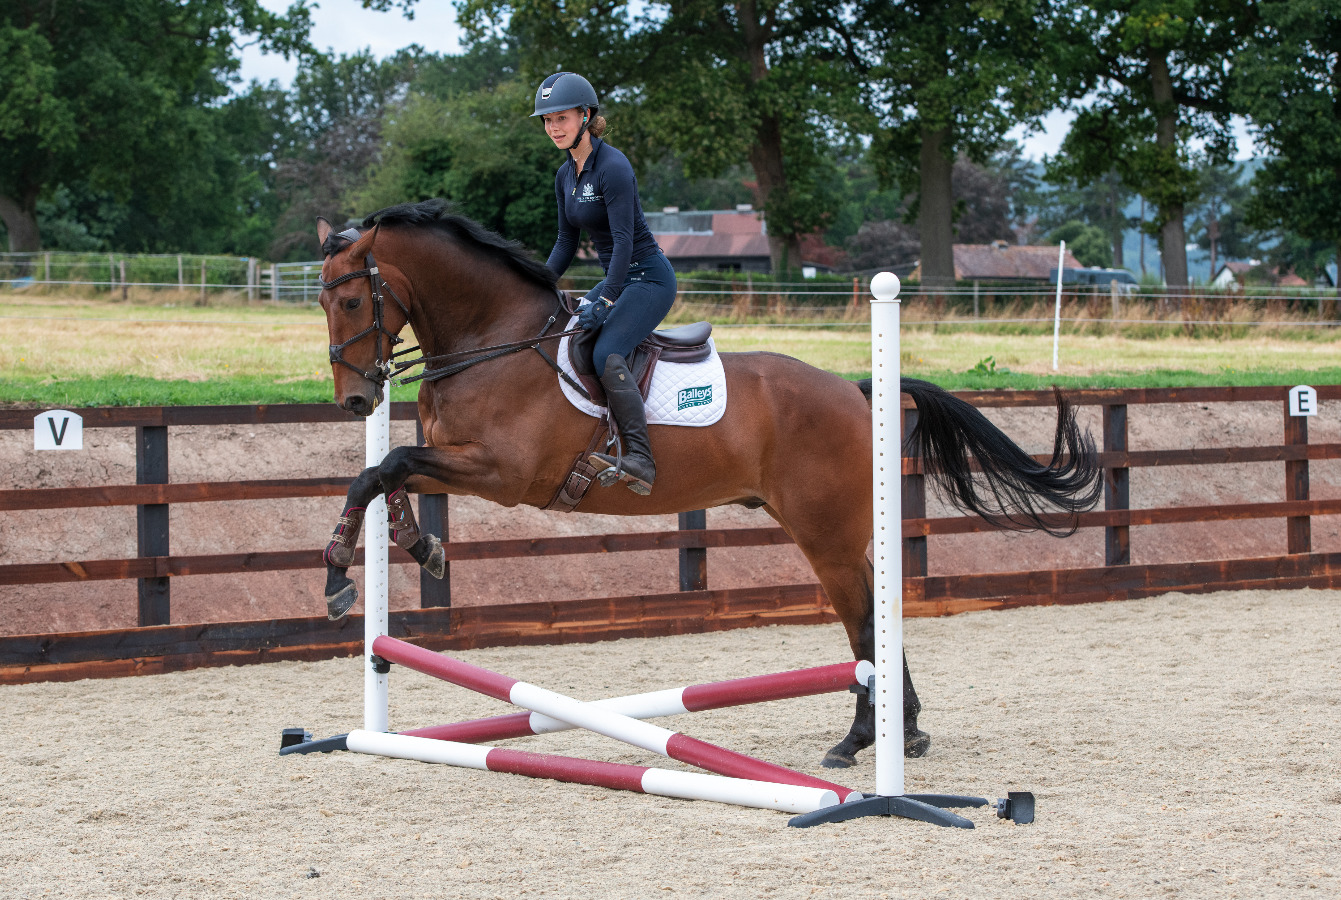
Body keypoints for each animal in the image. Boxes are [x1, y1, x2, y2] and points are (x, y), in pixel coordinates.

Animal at [313, 199, 1102, 769]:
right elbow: (384, 473)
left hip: (825, 534)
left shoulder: (504, 473)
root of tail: (855, 391)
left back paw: (858, 743)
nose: (355, 400)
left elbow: (384, 466)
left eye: (349, 303)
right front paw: (412, 548)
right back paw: (900, 733)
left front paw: (342, 576)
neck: (492, 338)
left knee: (864, 623)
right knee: (873, 617)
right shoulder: (454, 455)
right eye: (320, 302)